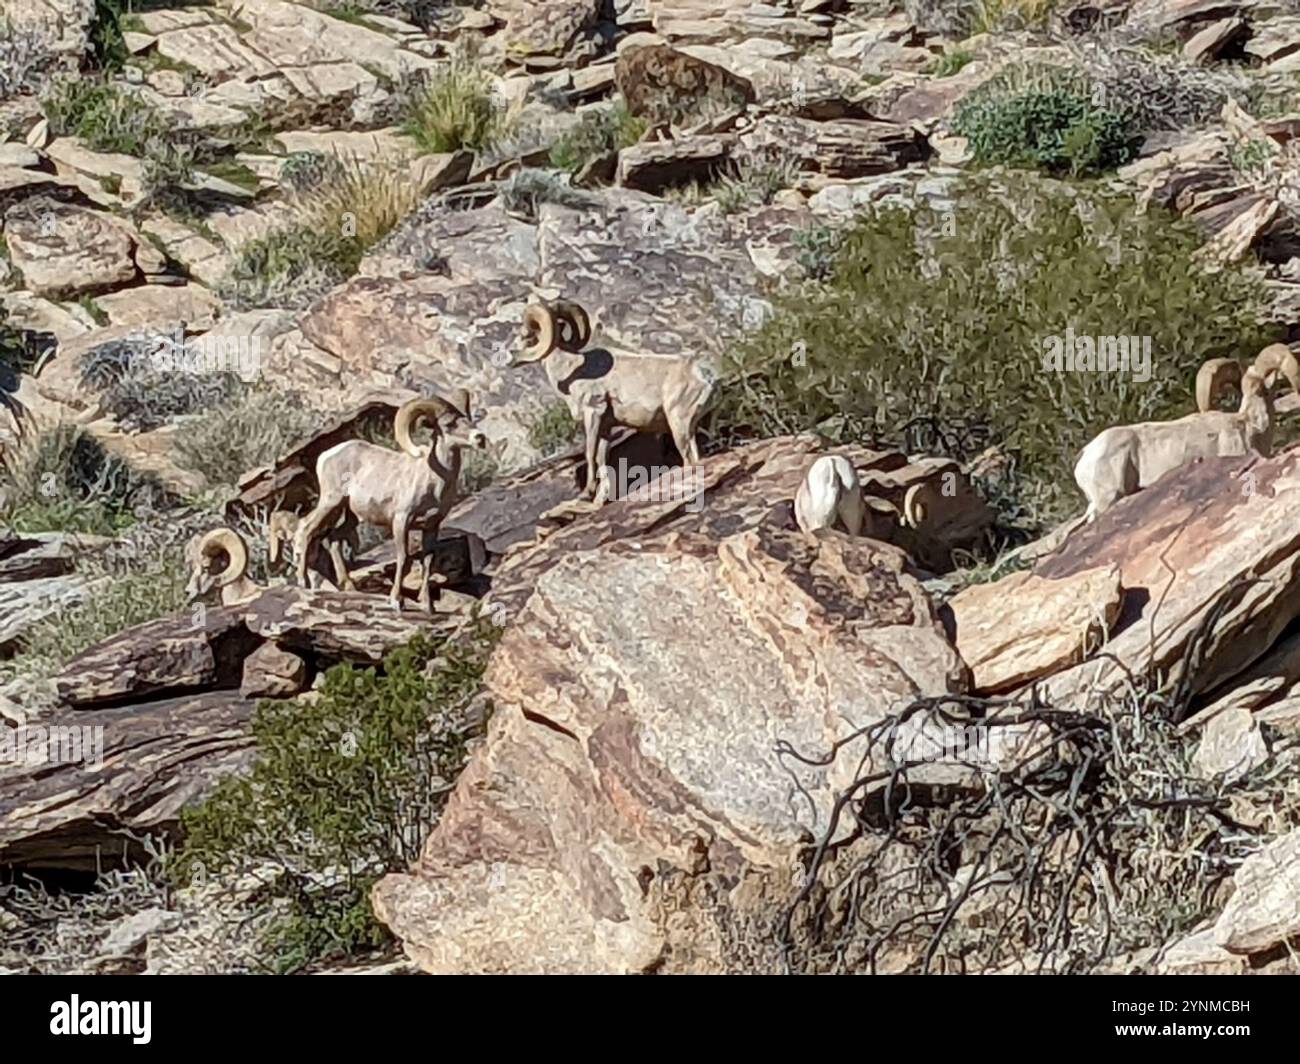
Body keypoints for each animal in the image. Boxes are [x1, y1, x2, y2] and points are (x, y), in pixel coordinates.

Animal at [293, 393, 487, 612]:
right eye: (449, 424)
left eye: (469, 419)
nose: (480, 438)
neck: (433, 480)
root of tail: (327, 455)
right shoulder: (401, 521)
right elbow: (403, 558)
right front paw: (396, 601)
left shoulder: (431, 526)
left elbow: (427, 562)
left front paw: (427, 605)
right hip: (331, 502)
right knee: (307, 529)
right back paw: (303, 581)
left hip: (352, 516)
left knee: (333, 539)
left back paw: (350, 587)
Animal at [511, 300, 717, 504]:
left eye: (526, 335)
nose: (510, 357)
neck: (573, 368)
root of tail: (705, 379)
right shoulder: (606, 427)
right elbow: (601, 458)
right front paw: (600, 499)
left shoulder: (593, 412)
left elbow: (590, 453)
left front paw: (586, 493)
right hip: (689, 429)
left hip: (678, 425)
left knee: (689, 459)